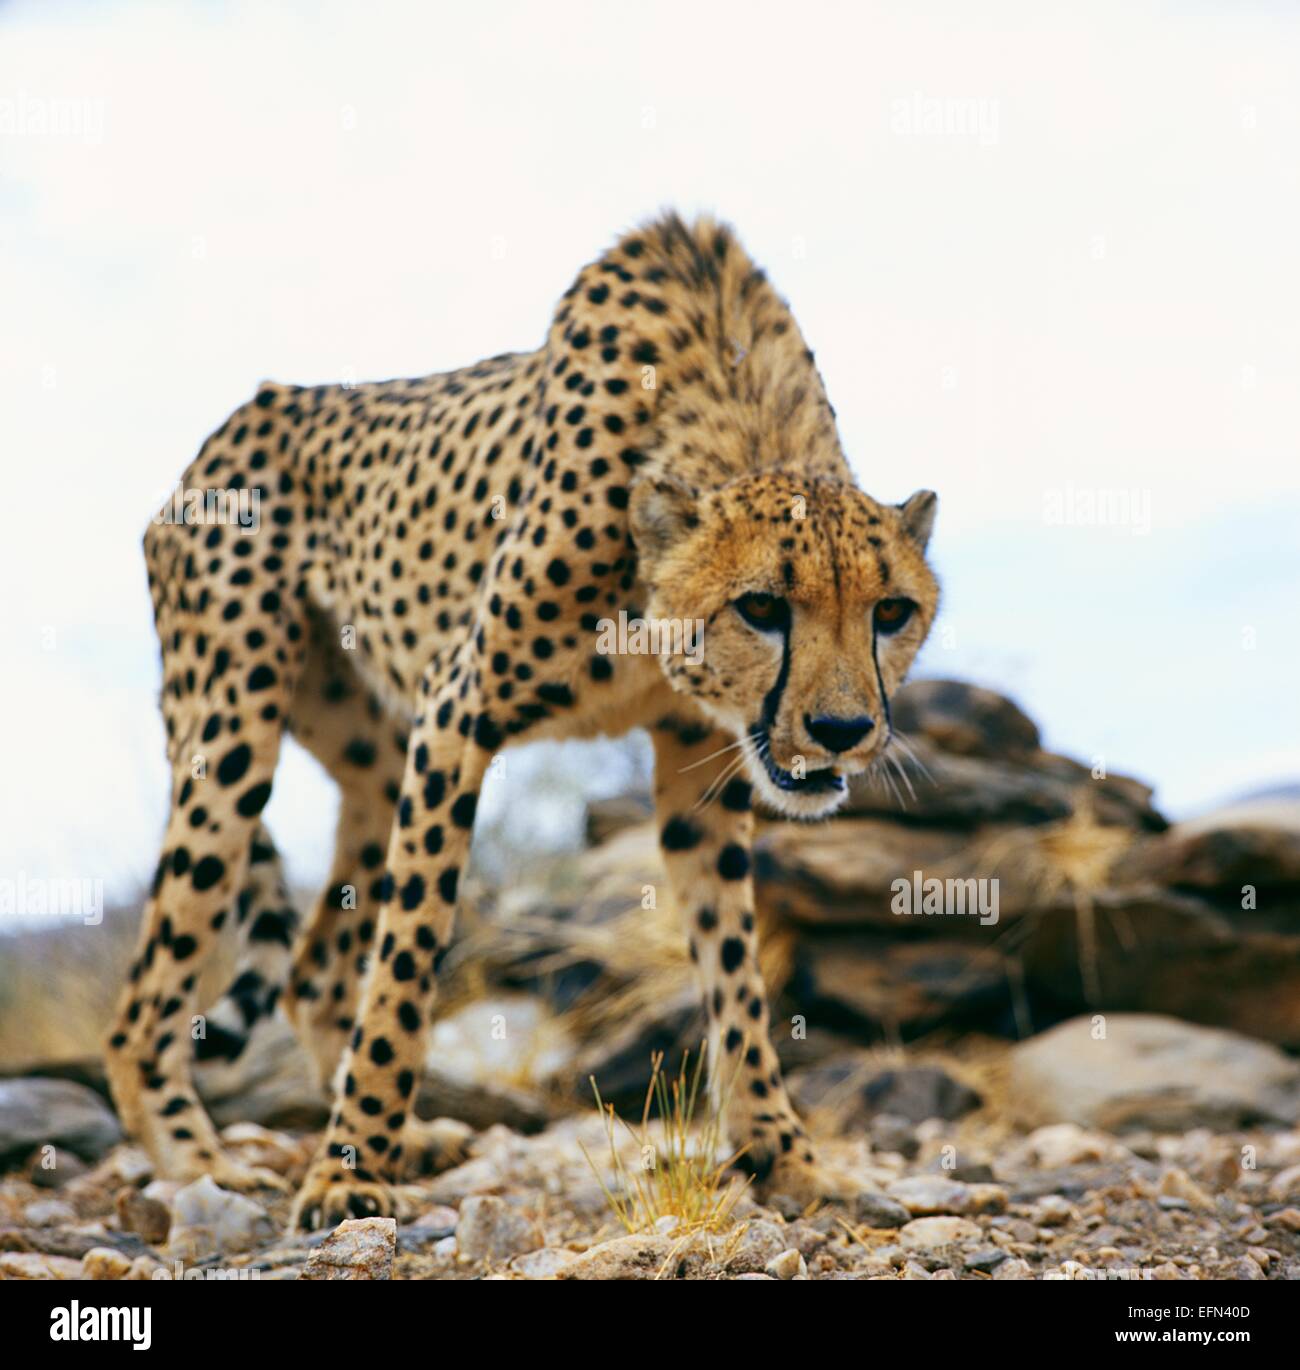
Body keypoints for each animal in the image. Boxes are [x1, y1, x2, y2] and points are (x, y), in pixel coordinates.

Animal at [104, 212, 940, 1228]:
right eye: (762, 607)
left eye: (891, 612)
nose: (843, 731)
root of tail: (230, 427)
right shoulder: (454, 717)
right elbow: (408, 966)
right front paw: (350, 1174)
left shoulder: (700, 757)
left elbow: (735, 973)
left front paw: (789, 1163)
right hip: (232, 731)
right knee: (145, 999)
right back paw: (202, 1165)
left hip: (372, 755)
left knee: (311, 968)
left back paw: (404, 1137)